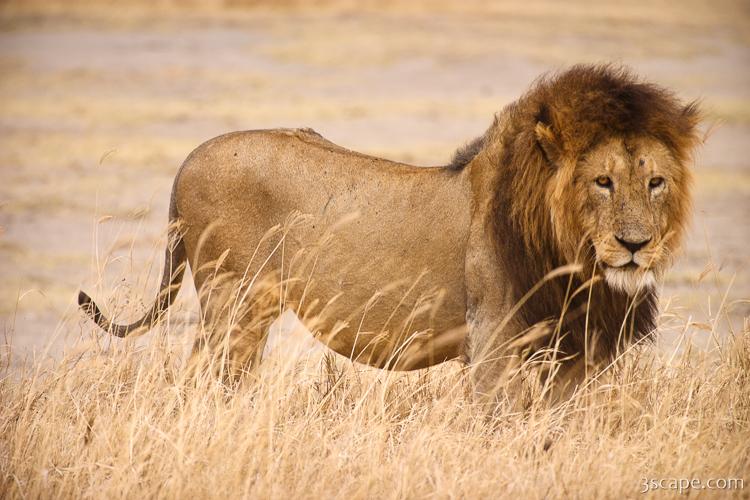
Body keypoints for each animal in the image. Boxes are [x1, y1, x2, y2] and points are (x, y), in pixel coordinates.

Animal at [78, 65, 701, 402]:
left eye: (655, 182)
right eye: (602, 182)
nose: (635, 244)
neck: (571, 256)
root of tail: (188, 160)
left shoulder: (573, 351)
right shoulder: (493, 339)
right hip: (233, 298)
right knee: (207, 376)